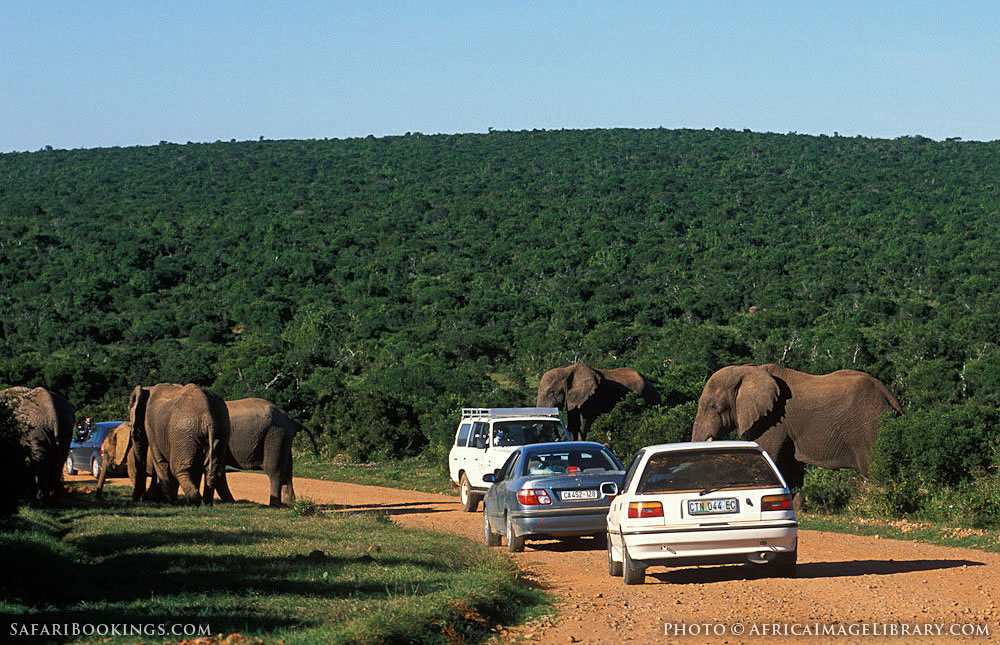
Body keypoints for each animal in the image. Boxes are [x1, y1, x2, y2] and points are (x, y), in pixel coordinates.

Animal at [690, 364, 902, 489]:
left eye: (713, 407)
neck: (748, 370)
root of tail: (889, 395)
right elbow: (791, 471)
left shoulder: (773, 419)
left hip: (868, 427)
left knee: (873, 472)